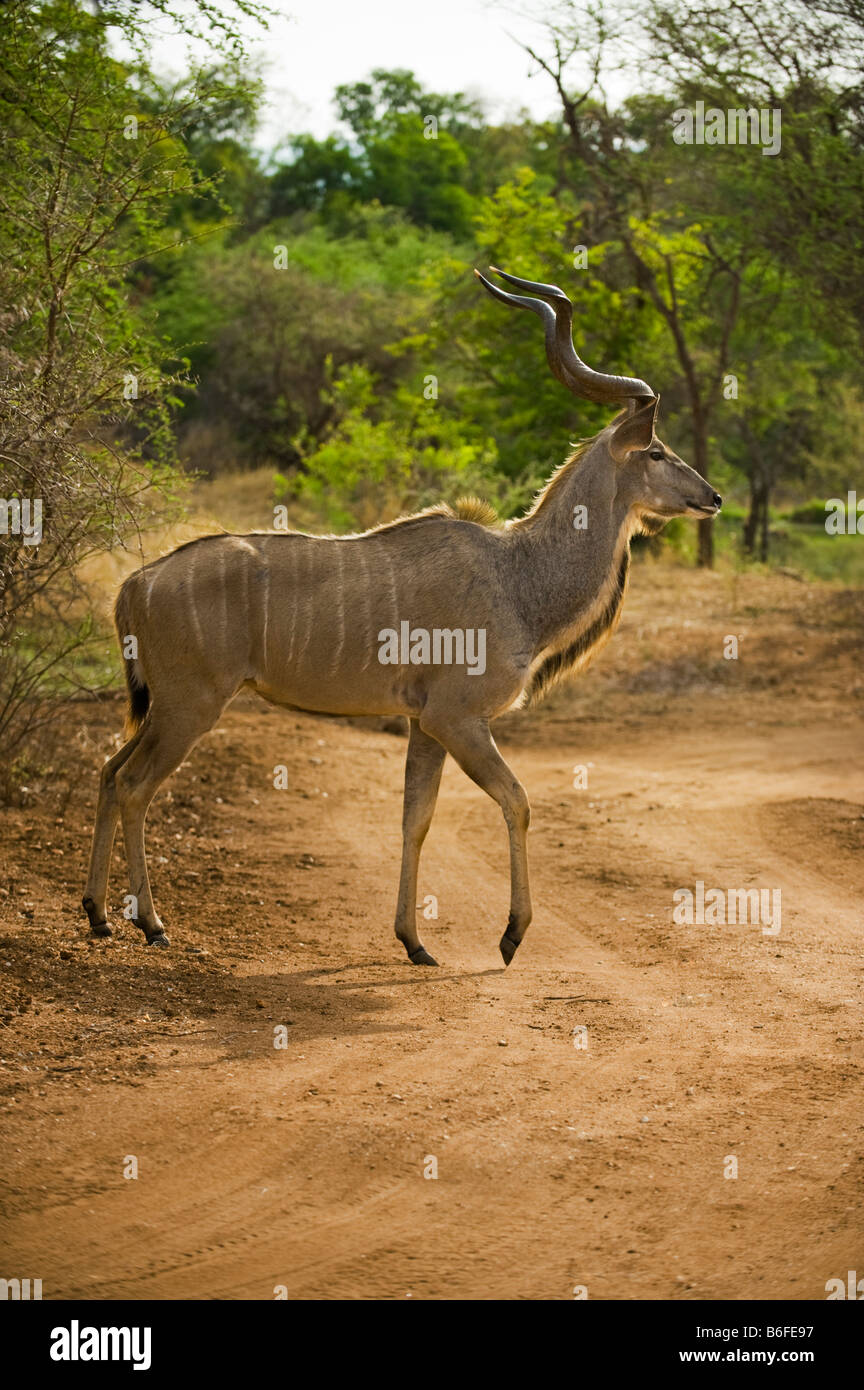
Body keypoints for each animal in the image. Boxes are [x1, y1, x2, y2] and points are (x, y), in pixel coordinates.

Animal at [82, 268, 721, 966]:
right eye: (656, 452)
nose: (713, 497)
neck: (517, 576)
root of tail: (136, 584)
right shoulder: (457, 718)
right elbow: (518, 802)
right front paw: (510, 934)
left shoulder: (424, 723)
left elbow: (417, 819)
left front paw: (414, 942)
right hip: (189, 706)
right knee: (135, 783)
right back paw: (151, 923)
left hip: (165, 708)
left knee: (109, 771)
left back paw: (99, 915)